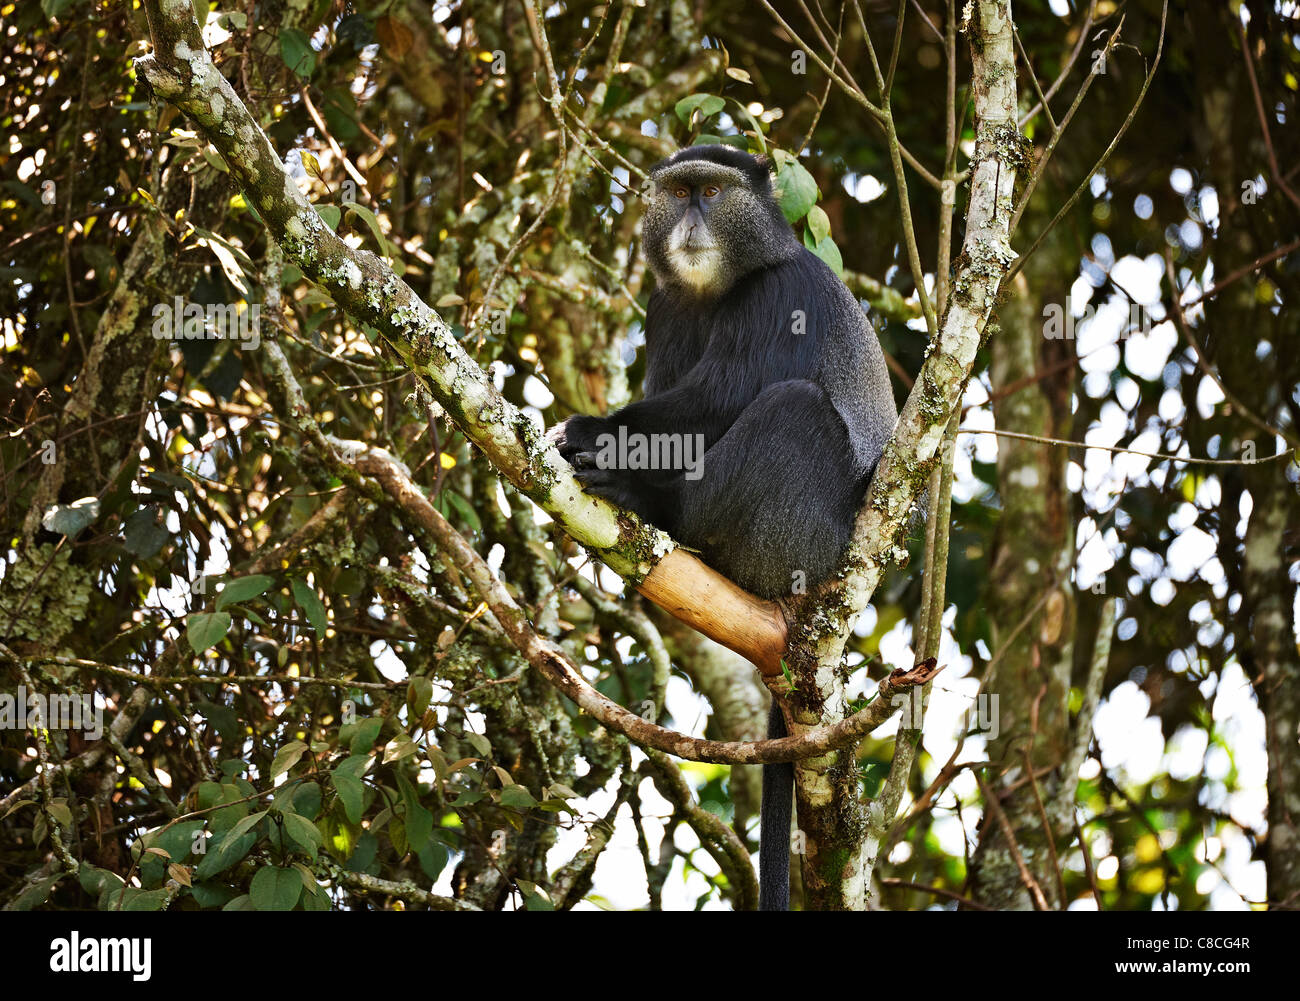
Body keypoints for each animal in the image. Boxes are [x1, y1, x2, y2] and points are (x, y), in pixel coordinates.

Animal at [551, 145, 898, 910]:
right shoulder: (666, 304)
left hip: (797, 537)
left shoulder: (780, 294)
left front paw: (592, 434)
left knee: (794, 405)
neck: (718, 286)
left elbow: (719, 398)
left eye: (712, 193)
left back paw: (658, 506)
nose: (690, 223)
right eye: (679, 193)